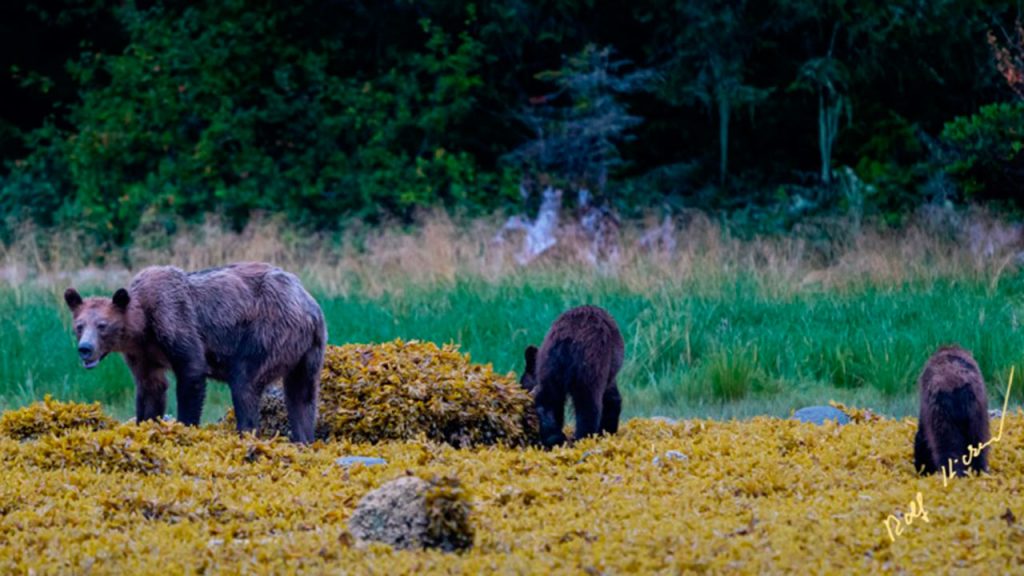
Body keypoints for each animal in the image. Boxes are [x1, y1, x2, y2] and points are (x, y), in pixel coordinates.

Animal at [64, 262, 327, 444]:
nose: (85, 349)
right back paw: (304, 438)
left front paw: (184, 426)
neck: (143, 327)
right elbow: (151, 387)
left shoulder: (174, 320)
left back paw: (245, 433)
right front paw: (145, 424)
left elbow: (191, 372)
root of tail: (309, 306)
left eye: (102, 325)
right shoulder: (142, 353)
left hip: (268, 332)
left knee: (245, 382)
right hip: (308, 352)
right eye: (79, 325)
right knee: (302, 396)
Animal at [520, 305, 624, 448]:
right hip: (589, 366)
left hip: (550, 364)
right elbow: (612, 399)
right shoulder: (608, 373)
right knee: (588, 406)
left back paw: (554, 438)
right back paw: (583, 438)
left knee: (548, 400)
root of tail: (567, 339)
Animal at [913, 345, 990, 477]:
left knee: (947, 444)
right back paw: (979, 470)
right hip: (977, 411)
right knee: (978, 441)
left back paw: (953, 473)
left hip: (942, 411)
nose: (919, 469)